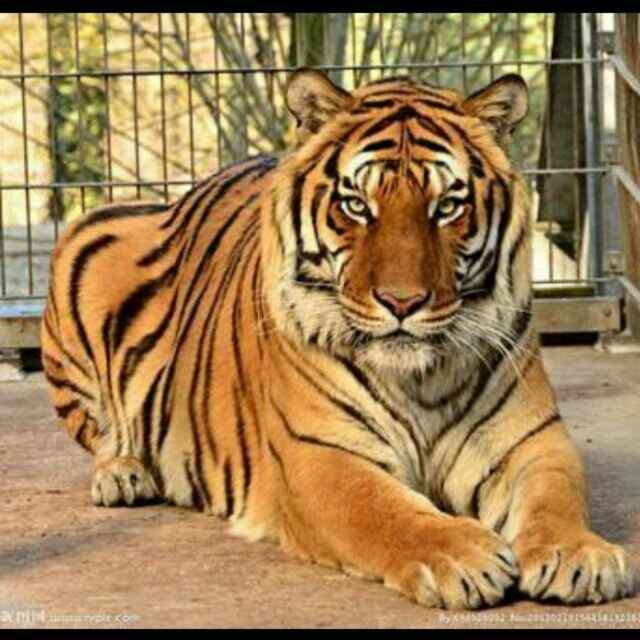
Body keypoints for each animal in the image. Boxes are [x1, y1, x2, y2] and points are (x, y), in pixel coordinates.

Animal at [41, 67, 635, 610]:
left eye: (447, 207)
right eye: (356, 205)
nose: (402, 302)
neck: (420, 379)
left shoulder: (531, 440)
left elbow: (556, 495)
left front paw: (576, 554)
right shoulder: (319, 454)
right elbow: (384, 509)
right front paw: (463, 555)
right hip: (86, 240)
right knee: (101, 435)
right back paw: (123, 474)